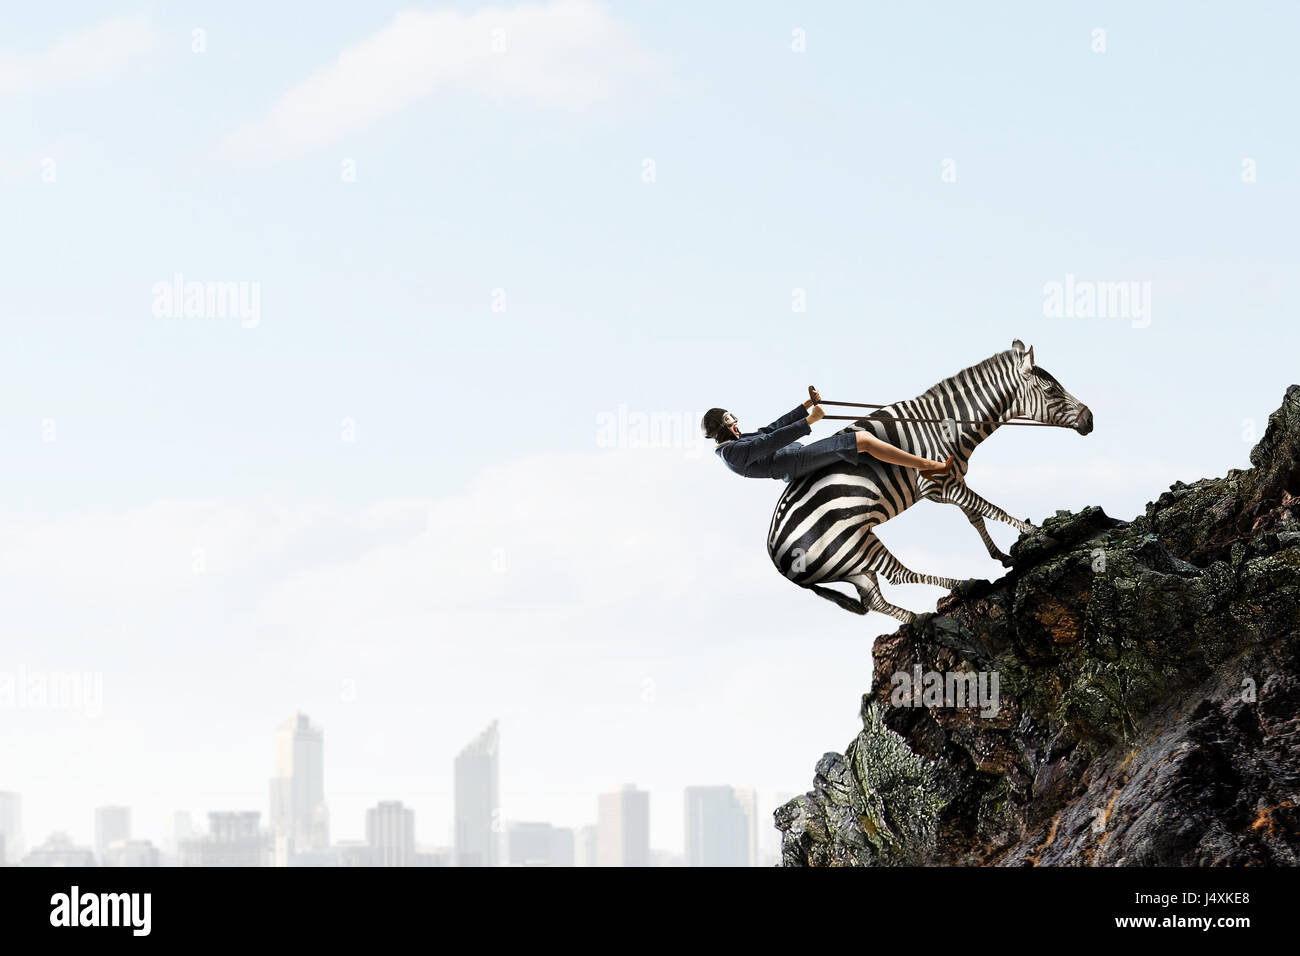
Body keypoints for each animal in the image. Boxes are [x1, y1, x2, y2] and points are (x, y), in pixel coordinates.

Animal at [766, 339, 1093, 623]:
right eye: (1051, 391)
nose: (1090, 419)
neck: (944, 425)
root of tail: (773, 551)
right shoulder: (939, 486)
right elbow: (992, 509)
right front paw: (1041, 536)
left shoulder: (953, 481)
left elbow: (976, 516)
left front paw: (1002, 556)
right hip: (851, 546)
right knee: (898, 576)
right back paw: (962, 585)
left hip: (849, 563)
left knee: (875, 599)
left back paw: (917, 619)